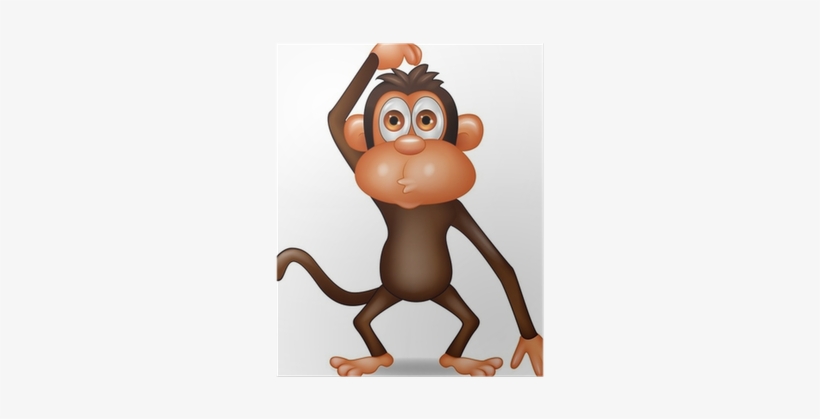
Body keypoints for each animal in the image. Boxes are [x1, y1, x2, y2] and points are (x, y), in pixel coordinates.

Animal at [277, 44, 543, 377]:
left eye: (427, 120)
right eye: (393, 121)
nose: (410, 145)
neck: (414, 202)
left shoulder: (456, 209)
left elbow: (501, 266)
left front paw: (532, 344)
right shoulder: (364, 169)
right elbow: (335, 121)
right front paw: (388, 52)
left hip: (443, 291)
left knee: (470, 319)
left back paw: (458, 361)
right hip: (390, 292)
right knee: (362, 320)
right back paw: (372, 360)